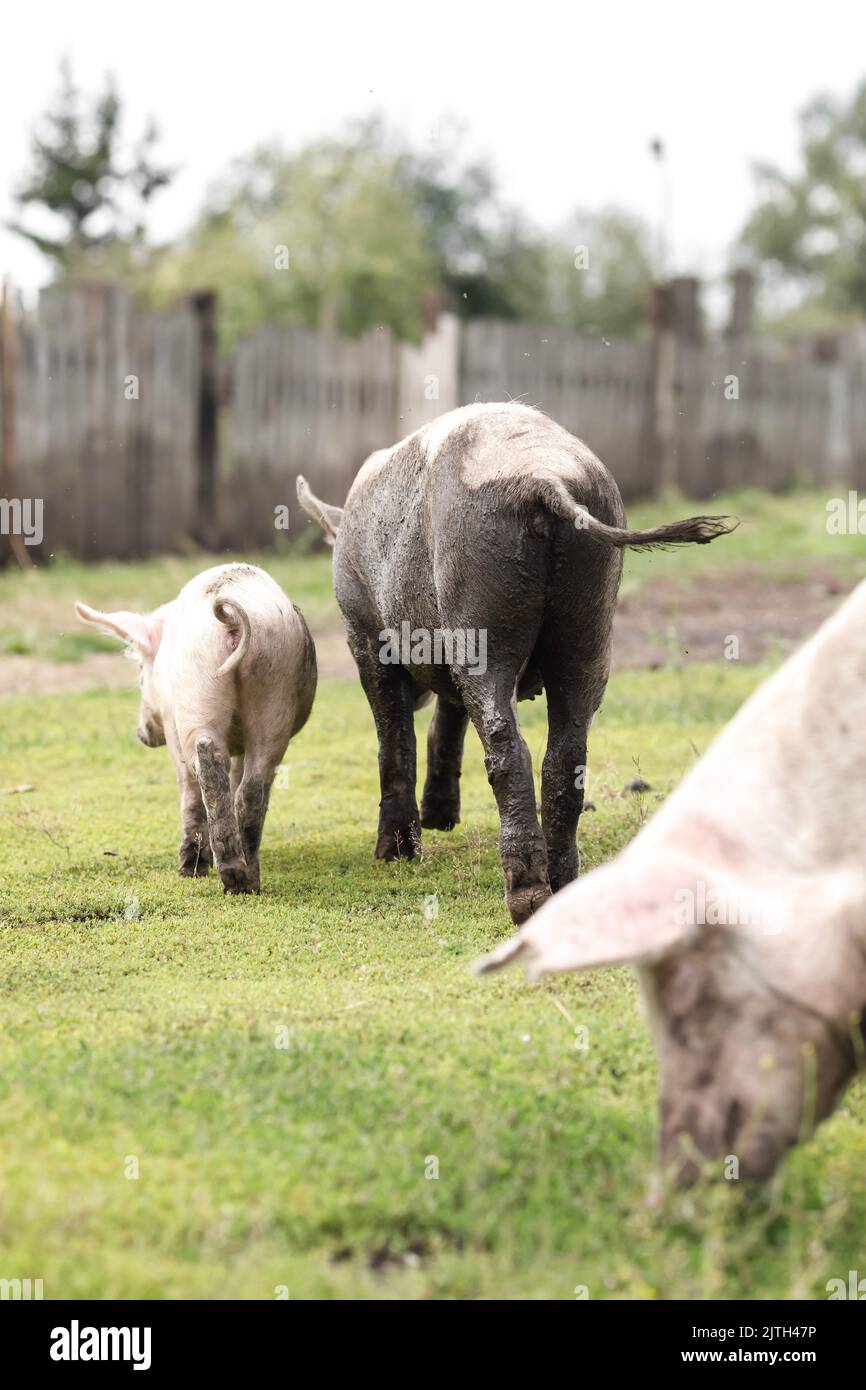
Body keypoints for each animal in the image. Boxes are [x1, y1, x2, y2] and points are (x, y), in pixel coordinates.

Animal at [75, 562, 316, 894]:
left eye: (140, 673)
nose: (142, 735)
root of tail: (230, 618)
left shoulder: (169, 718)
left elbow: (190, 786)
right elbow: (235, 776)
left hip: (194, 690)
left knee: (201, 771)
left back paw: (206, 873)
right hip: (273, 684)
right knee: (251, 784)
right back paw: (247, 881)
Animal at [297, 402, 734, 924]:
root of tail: (544, 479)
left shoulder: (363, 632)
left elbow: (394, 737)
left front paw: (394, 855)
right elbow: (448, 717)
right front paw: (441, 821)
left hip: (476, 594)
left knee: (506, 742)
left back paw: (524, 899)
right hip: (590, 611)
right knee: (565, 751)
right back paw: (561, 887)